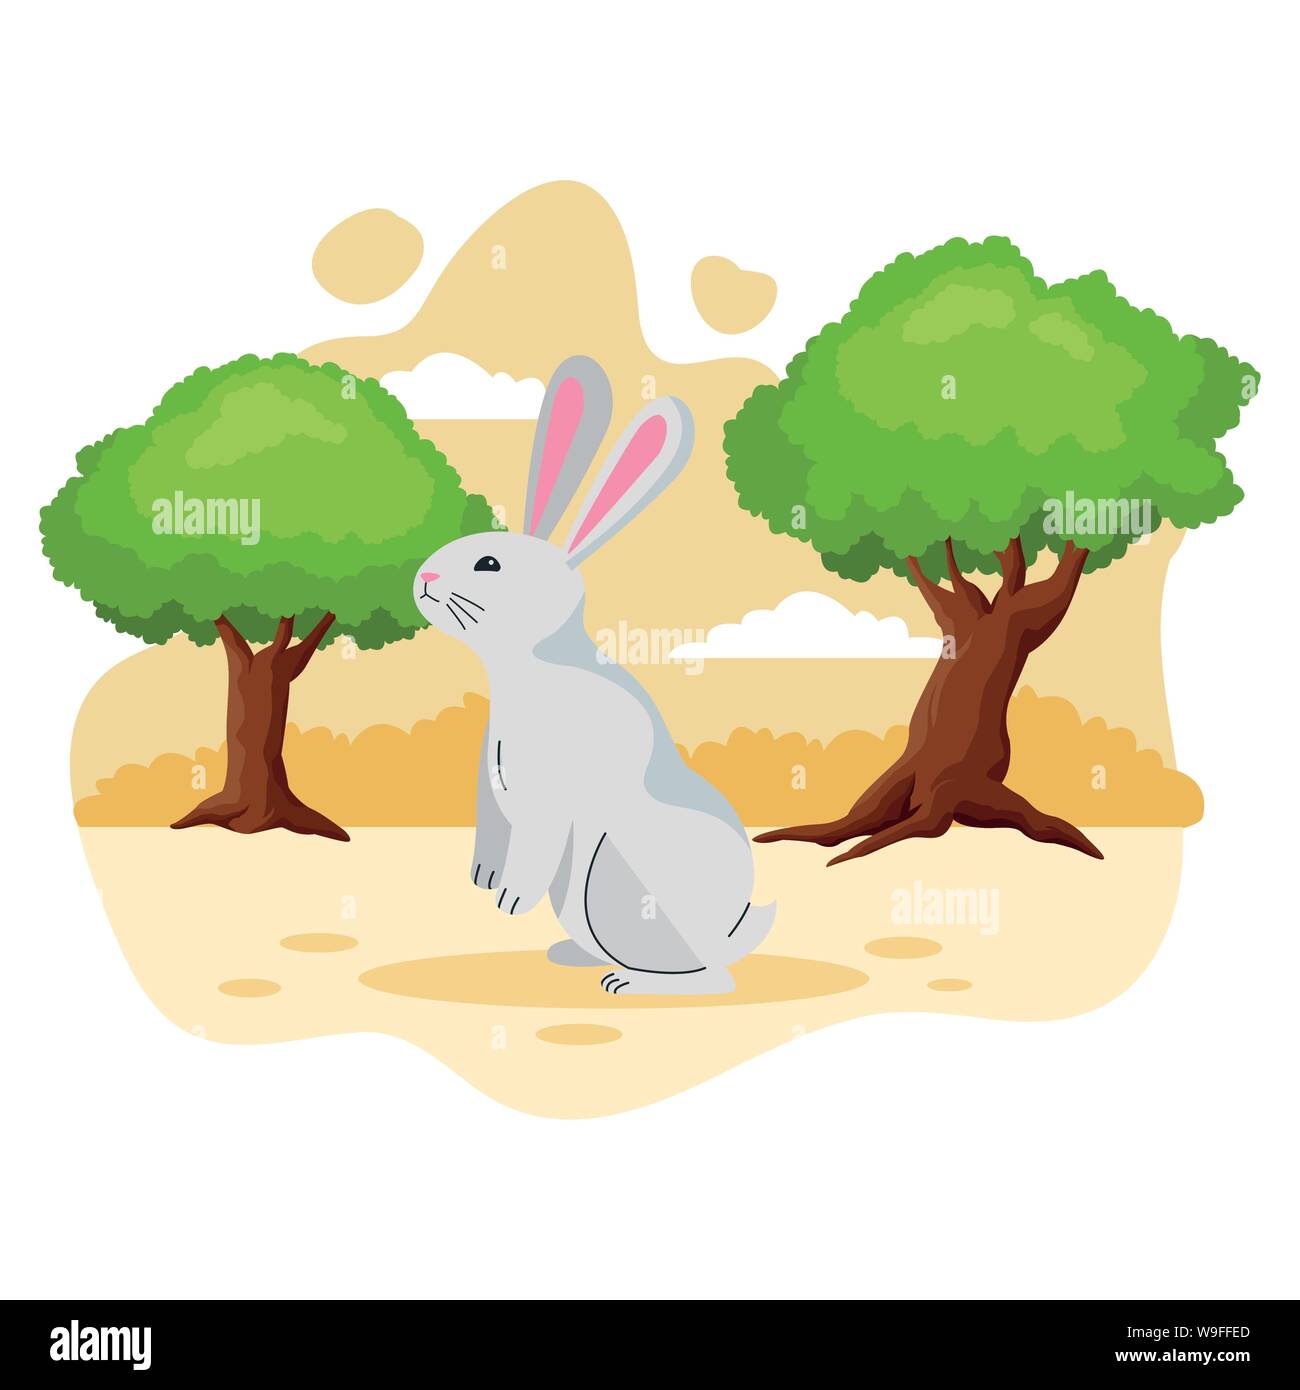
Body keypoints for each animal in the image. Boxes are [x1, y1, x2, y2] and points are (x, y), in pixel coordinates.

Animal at [411, 355, 775, 995]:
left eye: (488, 563)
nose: (424, 575)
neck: (529, 664)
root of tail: (737, 930)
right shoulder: (493, 791)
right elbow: (490, 831)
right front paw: (482, 877)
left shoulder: (551, 805)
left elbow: (532, 849)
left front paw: (509, 901)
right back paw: (575, 959)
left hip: (616, 873)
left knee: (713, 979)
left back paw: (632, 985)